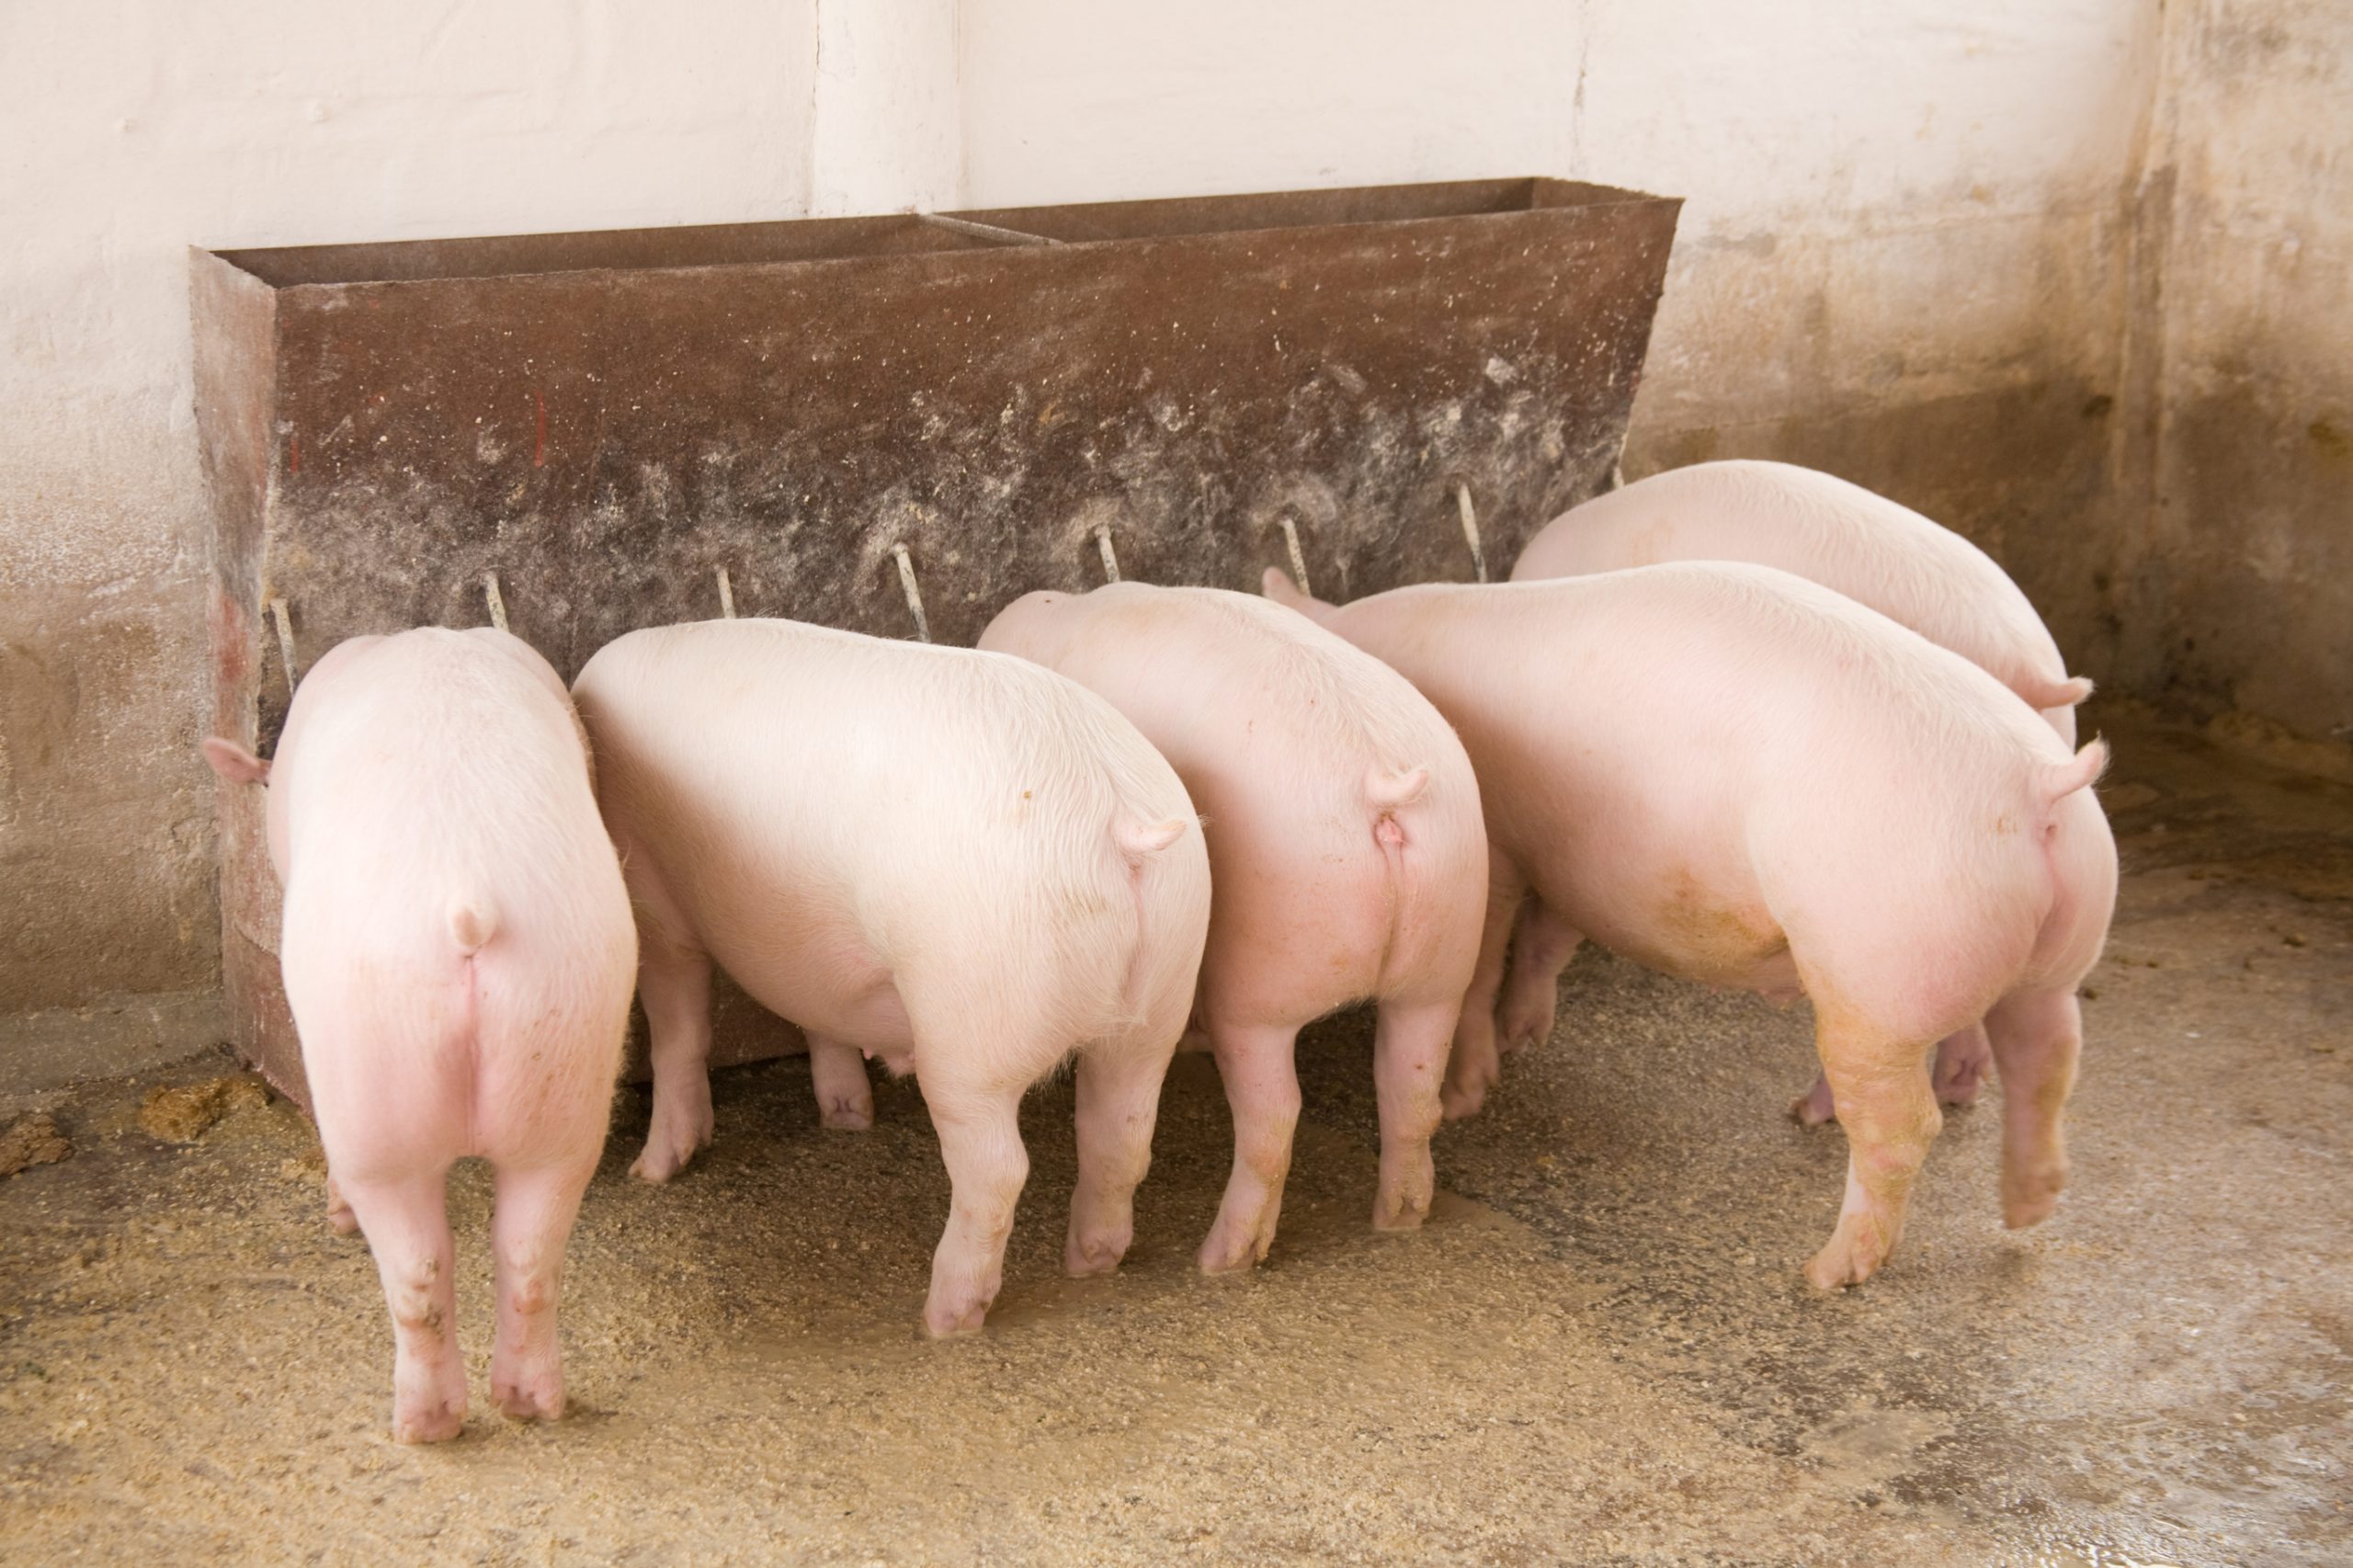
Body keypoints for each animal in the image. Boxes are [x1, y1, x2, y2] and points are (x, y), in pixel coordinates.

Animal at [200, 628, 637, 1442]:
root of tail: (468, 900)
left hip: (371, 1064)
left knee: (415, 1267)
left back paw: (422, 1424)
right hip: (566, 1039)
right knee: (528, 1255)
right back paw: (528, 1405)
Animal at [569, 618, 1211, 1336]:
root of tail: (1116, 820)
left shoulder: (654, 901)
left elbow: (679, 1032)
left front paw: (649, 1173)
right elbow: (817, 1012)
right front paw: (848, 1118)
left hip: (971, 1021)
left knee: (998, 1170)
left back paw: (944, 1319)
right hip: (1161, 996)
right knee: (1121, 1136)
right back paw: (1089, 1263)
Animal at [980, 584, 1486, 1271]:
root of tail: (1380, 780)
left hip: (1262, 985)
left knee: (1274, 1119)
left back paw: (1223, 1260)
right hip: (1444, 958)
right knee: (1411, 1093)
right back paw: (1399, 1221)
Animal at [1263, 563, 2117, 1289]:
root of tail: (2039, 784)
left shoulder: (1501, 847)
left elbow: (1485, 962)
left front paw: (1472, 1089)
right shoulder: (1573, 863)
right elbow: (1547, 941)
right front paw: (1523, 1035)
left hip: (1883, 963)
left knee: (1904, 1124)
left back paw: (1827, 1270)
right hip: (2050, 956)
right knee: (2049, 1060)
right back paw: (2022, 1207)